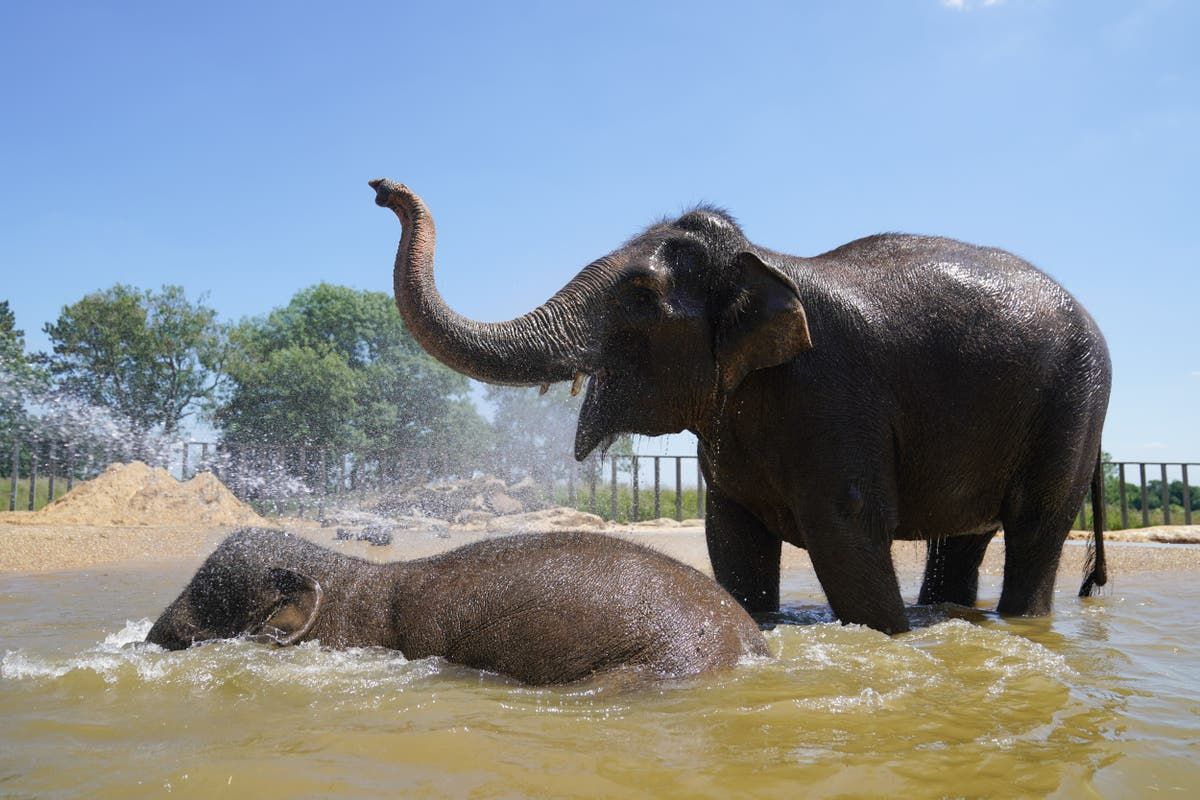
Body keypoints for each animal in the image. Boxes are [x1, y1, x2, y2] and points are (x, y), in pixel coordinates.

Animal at [369, 180, 1112, 635]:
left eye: (639, 296)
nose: (383, 190)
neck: (761, 259)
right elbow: (733, 543)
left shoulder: (834, 393)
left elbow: (848, 530)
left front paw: (887, 637)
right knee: (962, 543)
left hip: (1074, 405)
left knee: (1035, 530)